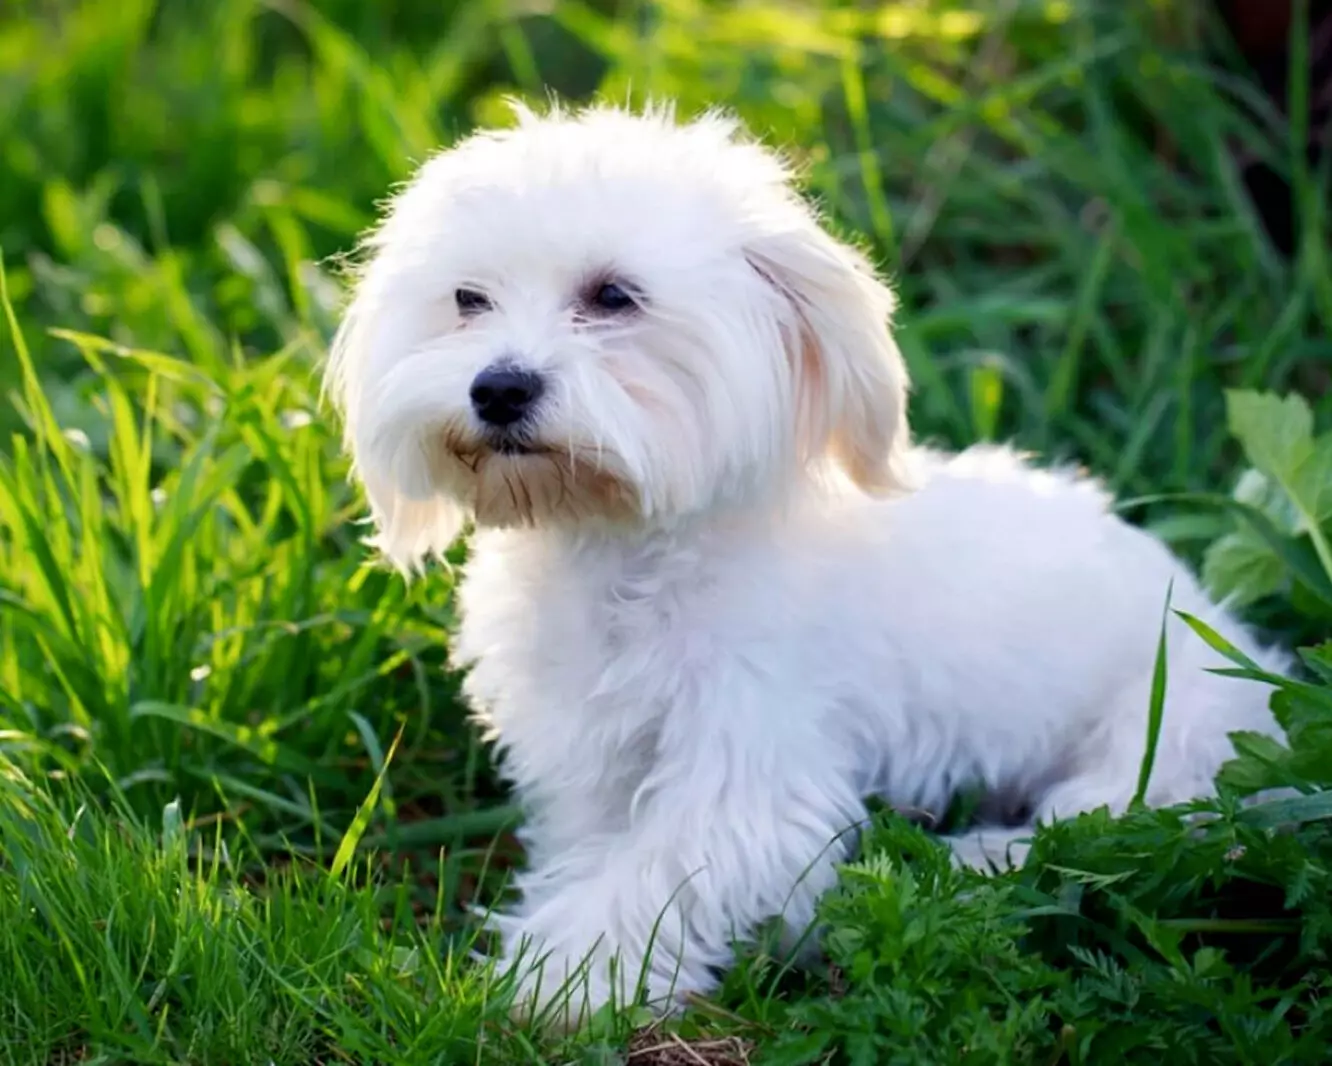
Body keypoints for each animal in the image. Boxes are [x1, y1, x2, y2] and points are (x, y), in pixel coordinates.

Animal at [325, 105, 1289, 1023]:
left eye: (614, 296)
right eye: (466, 298)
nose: (498, 388)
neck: (621, 548)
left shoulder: (750, 762)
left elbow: (656, 877)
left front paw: (562, 980)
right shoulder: (592, 763)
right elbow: (598, 849)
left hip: (1174, 736)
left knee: (1092, 826)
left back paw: (972, 857)